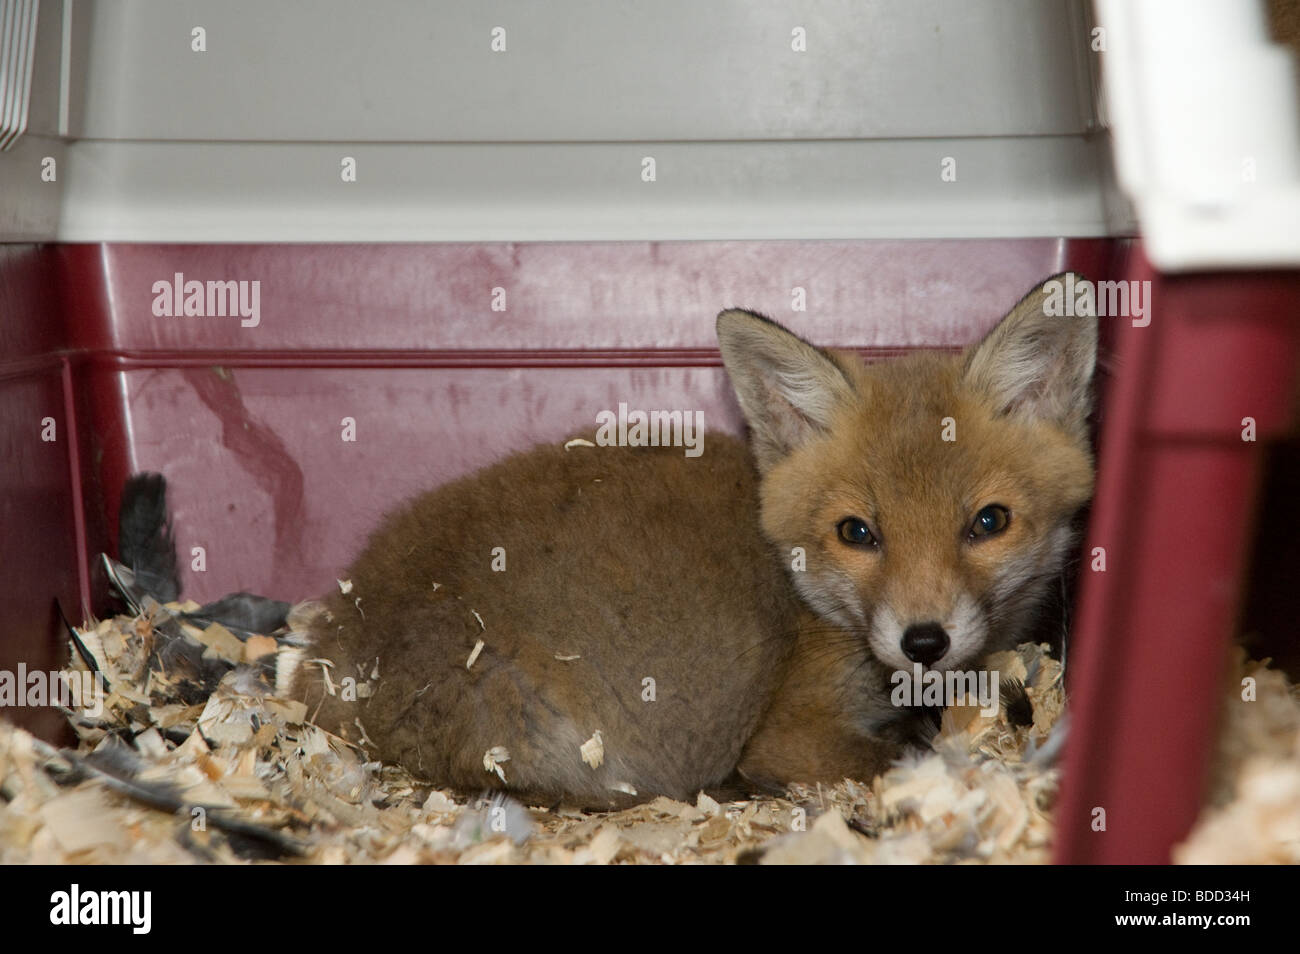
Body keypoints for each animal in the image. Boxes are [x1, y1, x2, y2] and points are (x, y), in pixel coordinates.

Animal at [287, 274, 1097, 807]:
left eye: (988, 522)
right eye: (857, 532)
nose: (924, 642)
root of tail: (338, 648)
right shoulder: (792, 732)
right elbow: (914, 750)